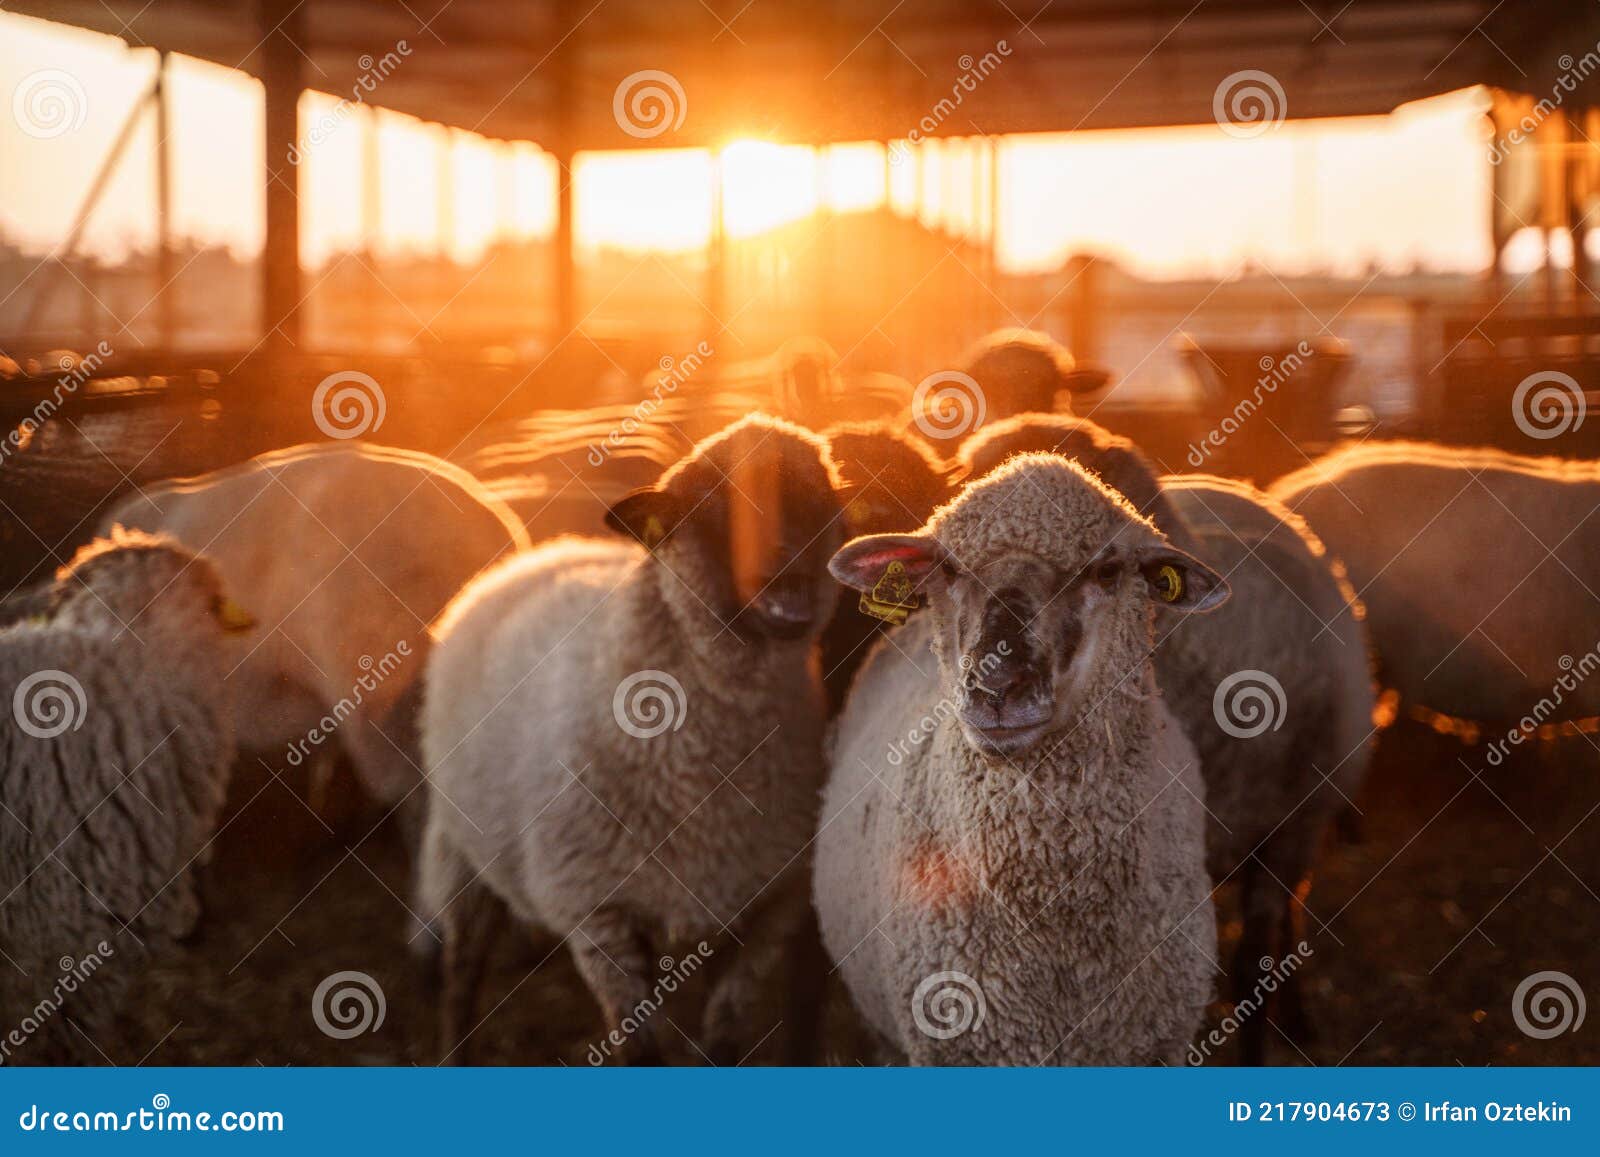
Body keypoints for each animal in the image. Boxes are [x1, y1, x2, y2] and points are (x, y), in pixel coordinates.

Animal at [415, 414, 846, 1065]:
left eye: (824, 498)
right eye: (711, 506)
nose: (790, 564)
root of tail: (551, 551)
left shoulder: (767, 906)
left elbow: (726, 1036)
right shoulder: (599, 912)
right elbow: (640, 1051)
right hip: (461, 847)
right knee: (463, 970)